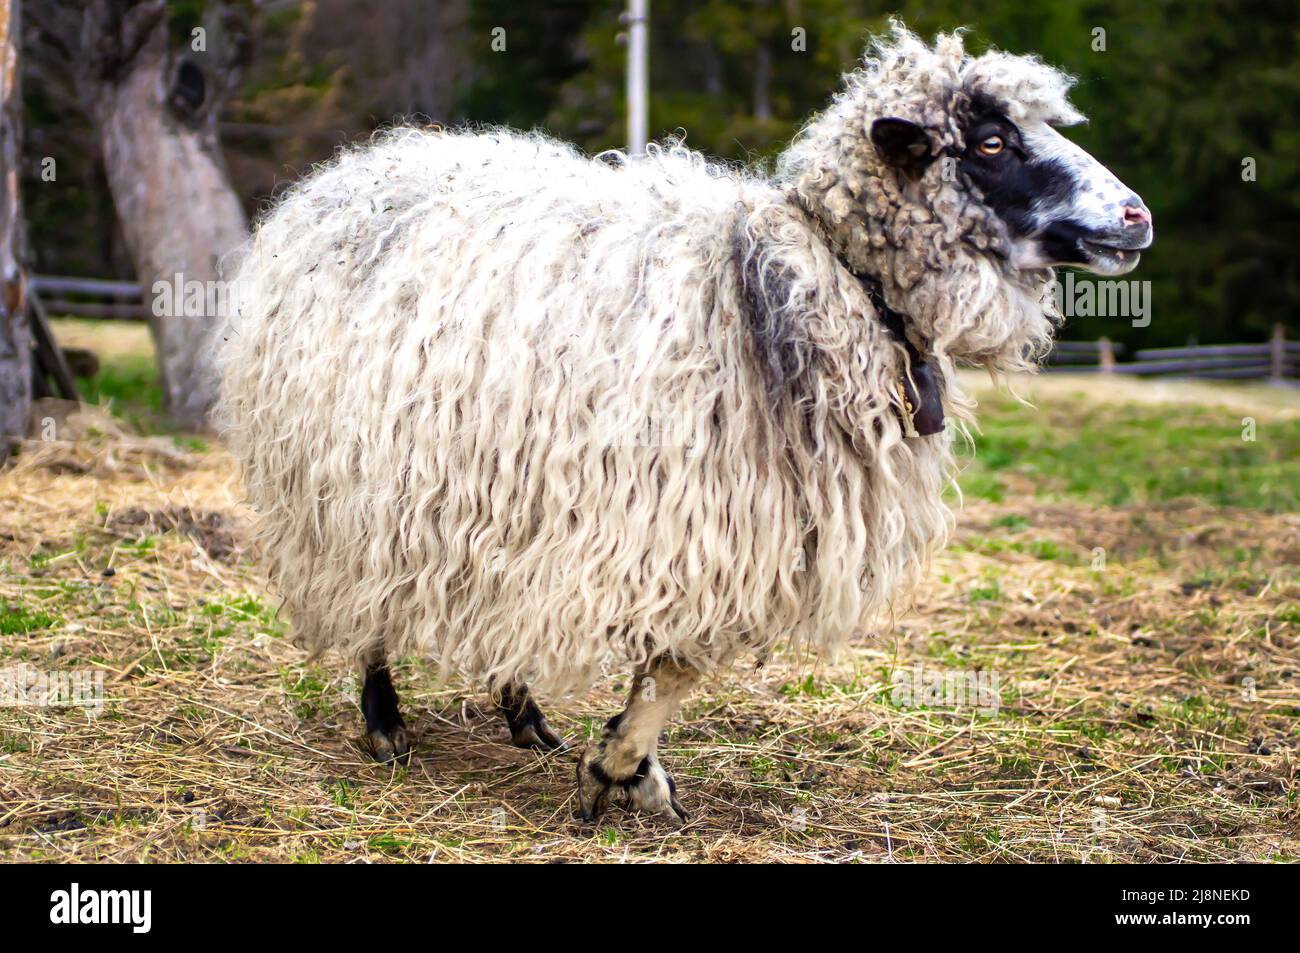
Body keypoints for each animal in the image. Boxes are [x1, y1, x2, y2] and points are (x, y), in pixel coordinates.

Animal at [219, 23, 1152, 825]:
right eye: (990, 142)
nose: (1137, 214)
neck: (820, 276)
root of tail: (363, 160)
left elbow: (667, 668)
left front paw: (627, 765)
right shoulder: (677, 517)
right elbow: (672, 667)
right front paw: (617, 771)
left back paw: (525, 712)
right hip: (353, 482)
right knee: (367, 597)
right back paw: (385, 722)